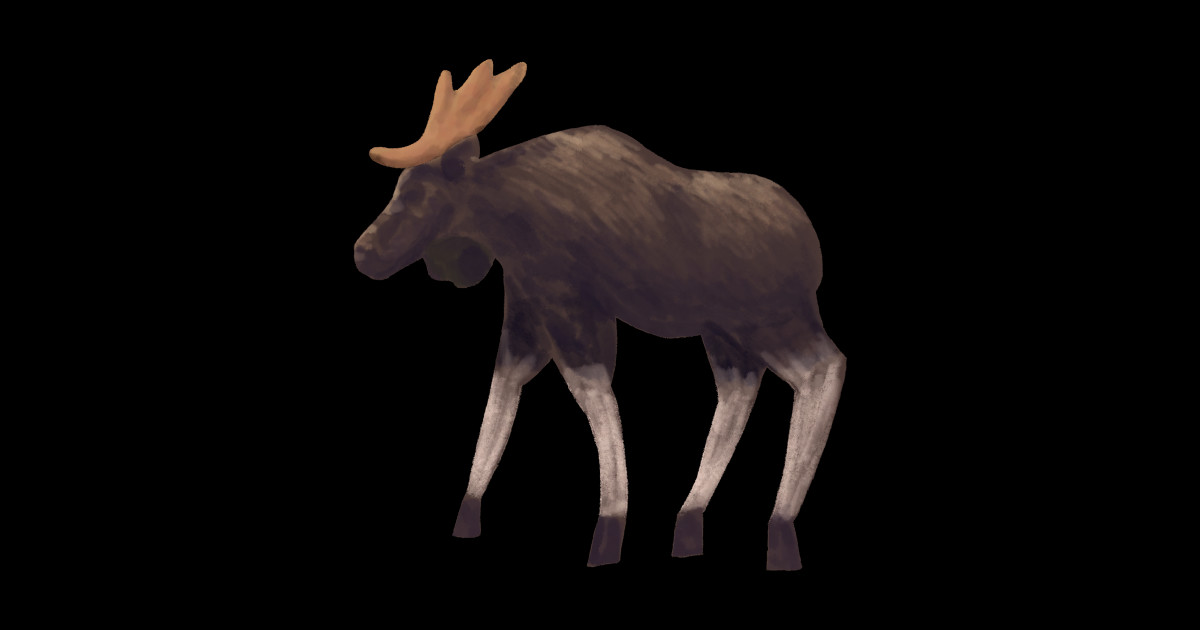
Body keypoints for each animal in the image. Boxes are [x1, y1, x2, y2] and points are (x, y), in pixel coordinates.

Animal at [355, 60, 846, 570]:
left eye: (416, 194)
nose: (363, 252)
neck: (506, 226)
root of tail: (812, 247)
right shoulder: (527, 311)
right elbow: (502, 391)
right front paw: (467, 514)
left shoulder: (572, 308)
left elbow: (593, 395)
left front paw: (610, 530)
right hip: (725, 334)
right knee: (739, 389)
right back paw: (689, 520)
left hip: (773, 320)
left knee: (823, 366)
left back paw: (780, 528)